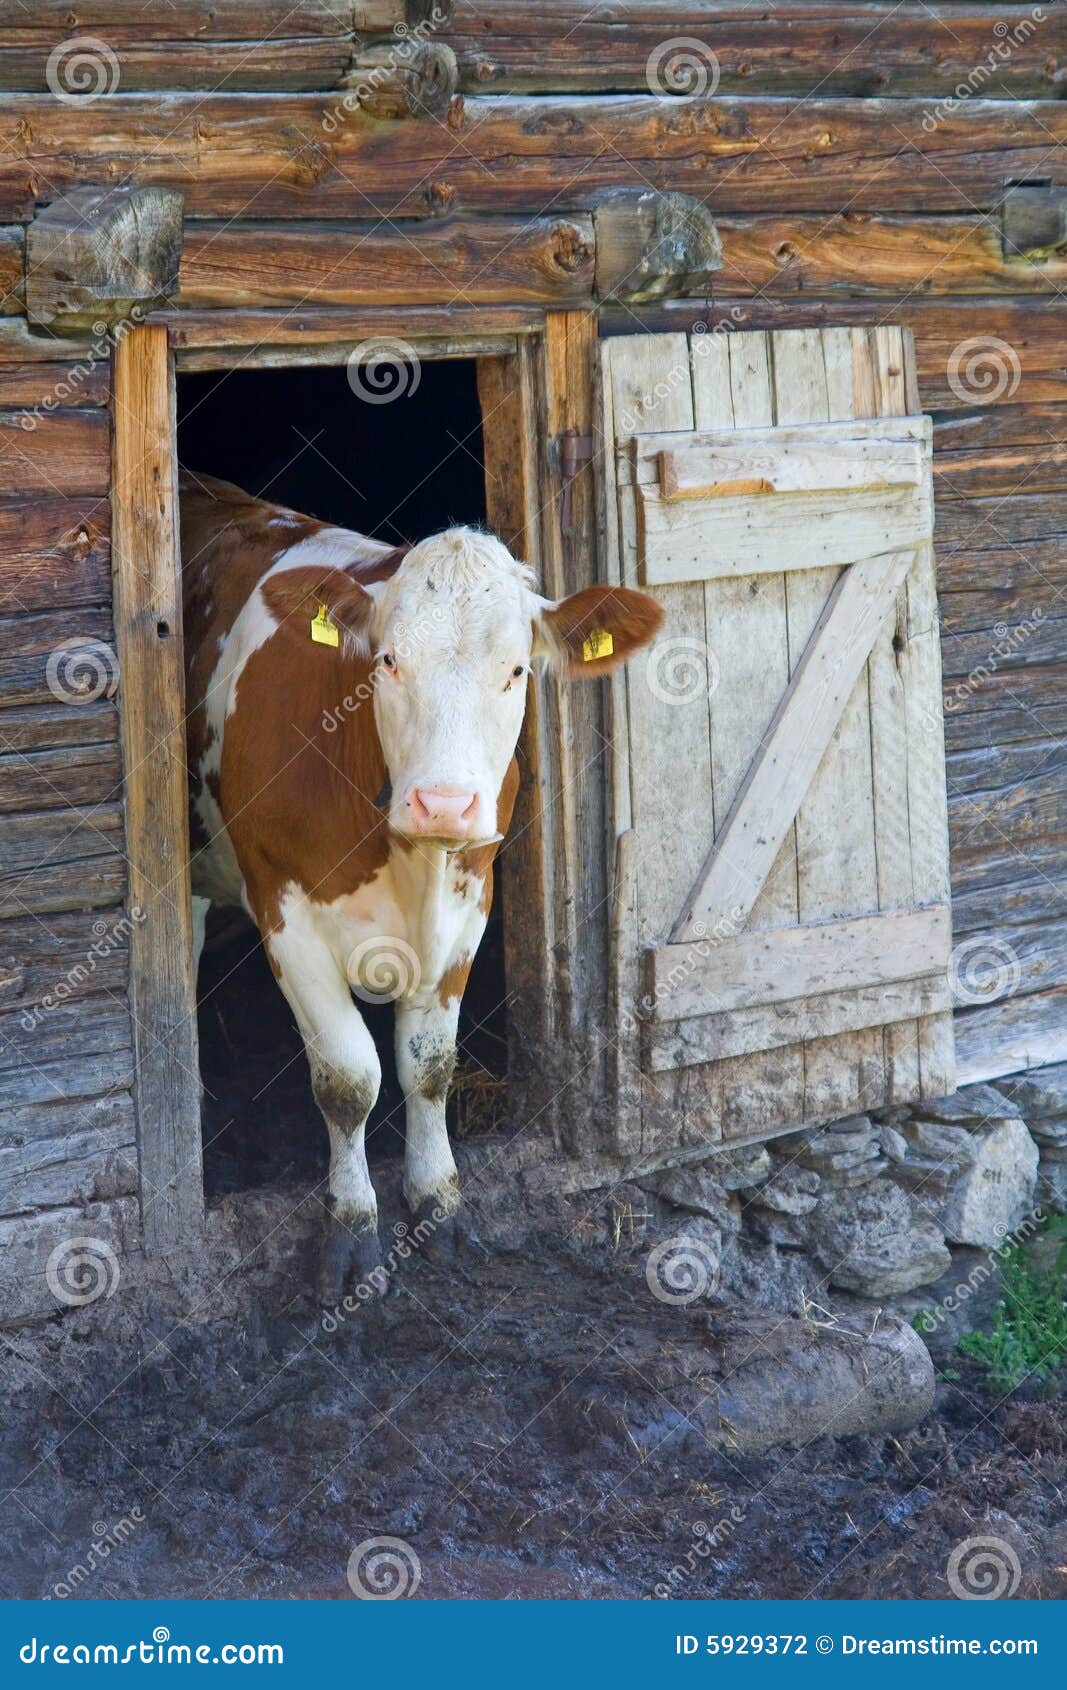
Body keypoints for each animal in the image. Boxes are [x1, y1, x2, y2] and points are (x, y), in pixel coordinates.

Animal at [180, 473, 663, 1303]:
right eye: (388, 661)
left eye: (515, 670)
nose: (443, 804)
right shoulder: (285, 911)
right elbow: (349, 1079)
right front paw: (351, 1230)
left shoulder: (471, 903)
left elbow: (428, 1064)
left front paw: (437, 1202)